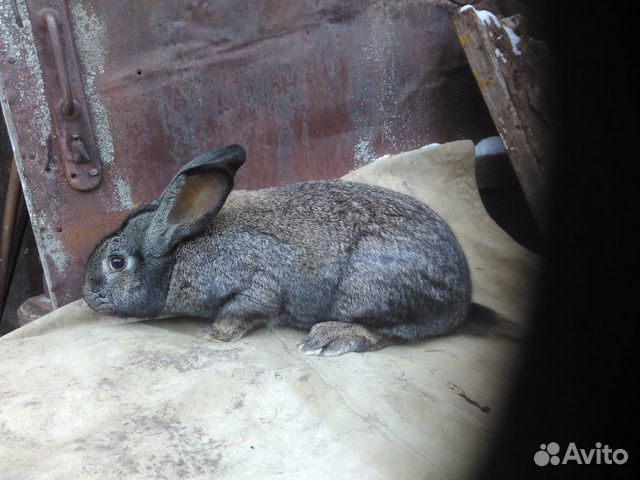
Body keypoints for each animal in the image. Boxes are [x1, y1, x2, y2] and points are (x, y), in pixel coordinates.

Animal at [83, 144, 472, 356]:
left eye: (116, 263)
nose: (88, 296)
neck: (178, 256)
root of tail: (462, 296)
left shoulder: (252, 284)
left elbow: (242, 310)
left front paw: (212, 334)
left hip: (368, 290)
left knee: (391, 332)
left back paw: (329, 338)